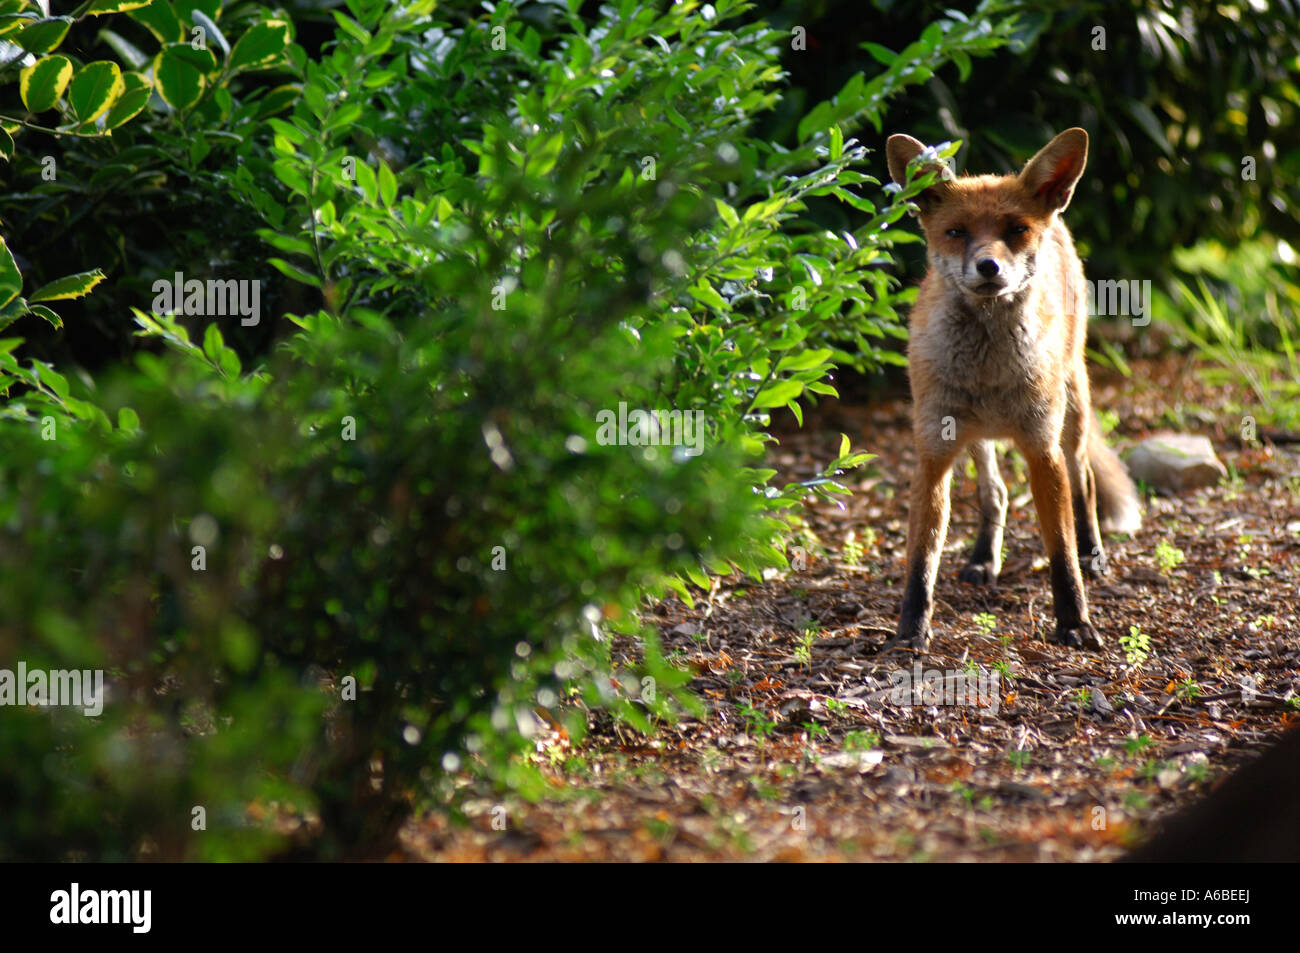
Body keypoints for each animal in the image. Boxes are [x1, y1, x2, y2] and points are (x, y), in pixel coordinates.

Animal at [883, 127, 1141, 653]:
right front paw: (910, 631)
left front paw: (1074, 622)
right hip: (975, 437)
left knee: (1084, 481)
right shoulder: (933, 453)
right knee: (996, 492)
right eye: (957, 232)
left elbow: (1060, 550)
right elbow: (921, 558)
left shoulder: (1042, 450)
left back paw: (1094, 553)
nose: (988, 267)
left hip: (1072, 413)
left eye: (1015, 230)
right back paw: (984, 558)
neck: (989, 370)